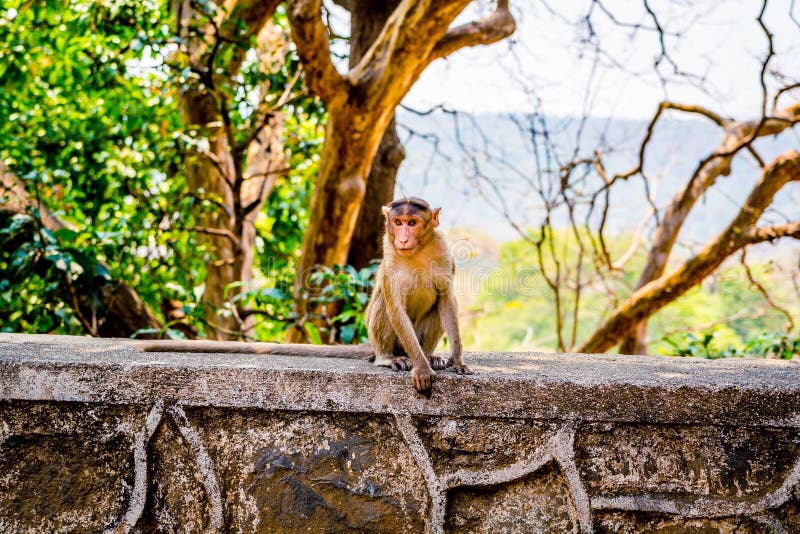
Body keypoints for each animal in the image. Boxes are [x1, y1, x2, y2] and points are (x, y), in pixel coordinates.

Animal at [138, 196, 470, 395]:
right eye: (397, 223)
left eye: (412, 223)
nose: (402, 238)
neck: (416, 251)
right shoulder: (389, 256)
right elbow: (394, 305)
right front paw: (421, 368)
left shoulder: (442, 251)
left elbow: (446, 299)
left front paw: (455, 359)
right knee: (382, 305)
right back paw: (392, 358)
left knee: (434, 309)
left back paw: (429, 355)